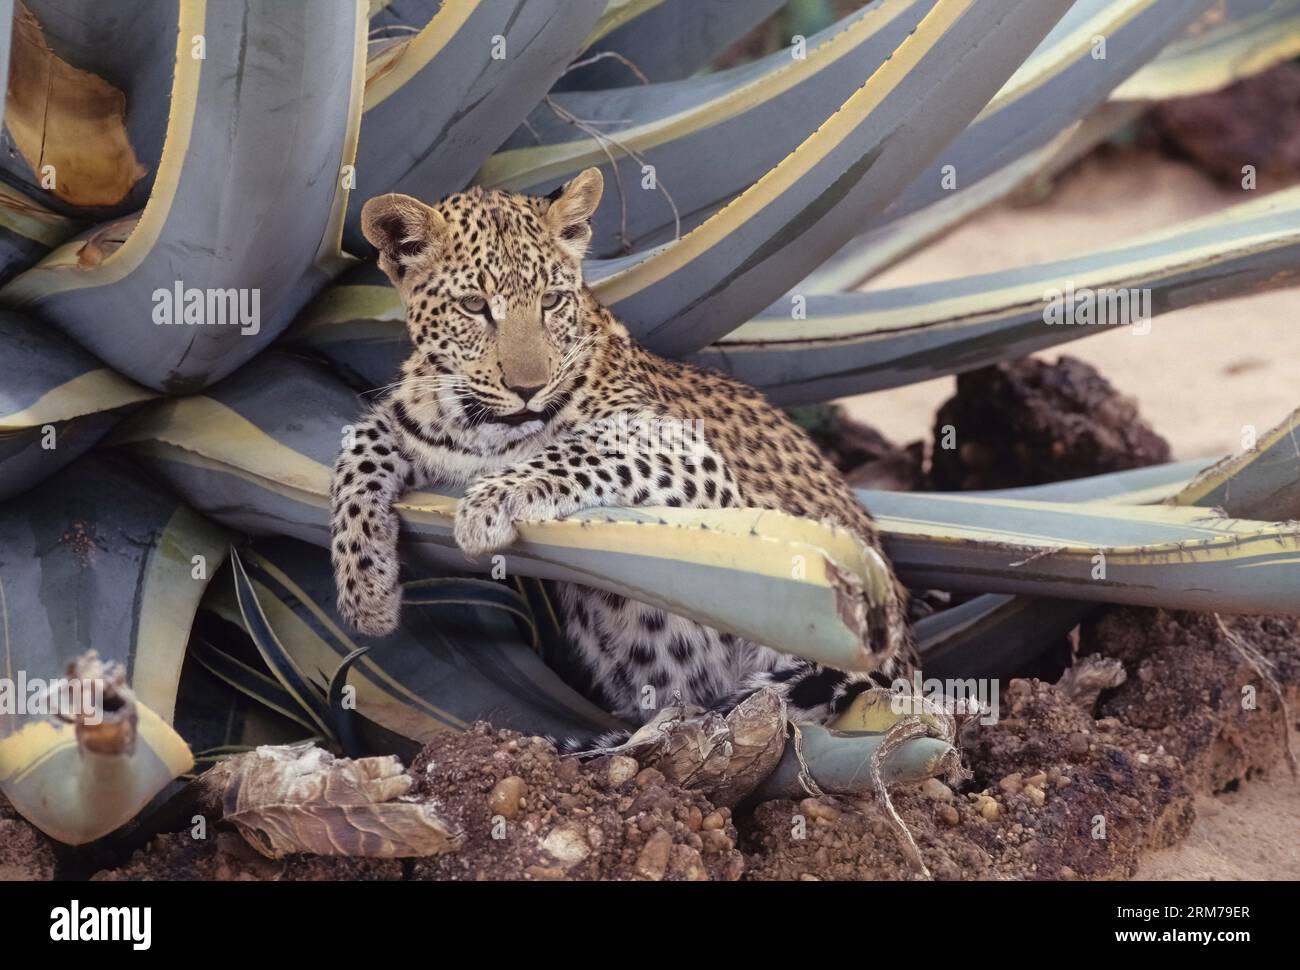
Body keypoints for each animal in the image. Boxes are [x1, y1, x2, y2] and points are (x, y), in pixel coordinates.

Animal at [329, 168, 913, 747]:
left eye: (551, 301)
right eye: (475, 306)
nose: (528, 389)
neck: (480, 428)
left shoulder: (689, 454)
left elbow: (582, 446)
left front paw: (487, 505)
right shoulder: (409, 419)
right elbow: (357, 448)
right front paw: (365, 592)